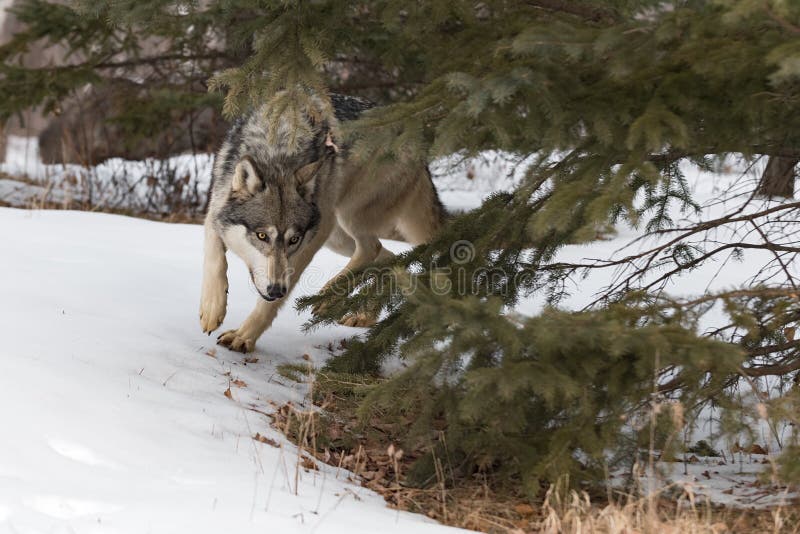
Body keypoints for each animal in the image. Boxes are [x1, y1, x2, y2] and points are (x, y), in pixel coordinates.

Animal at [199, 94, 446, 353]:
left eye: (294, 240)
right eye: (262, 236)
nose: (276, 290)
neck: (278, 153)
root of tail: (416, 138)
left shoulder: (312, 238)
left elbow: (270, 303)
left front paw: (244, 336)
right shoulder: (214, 211)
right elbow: (214, 259)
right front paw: (212, 309)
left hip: (343, 220)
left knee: (372, 248)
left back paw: (329, 297)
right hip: (337, 236)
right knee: (390, 256)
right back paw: (364, 314)